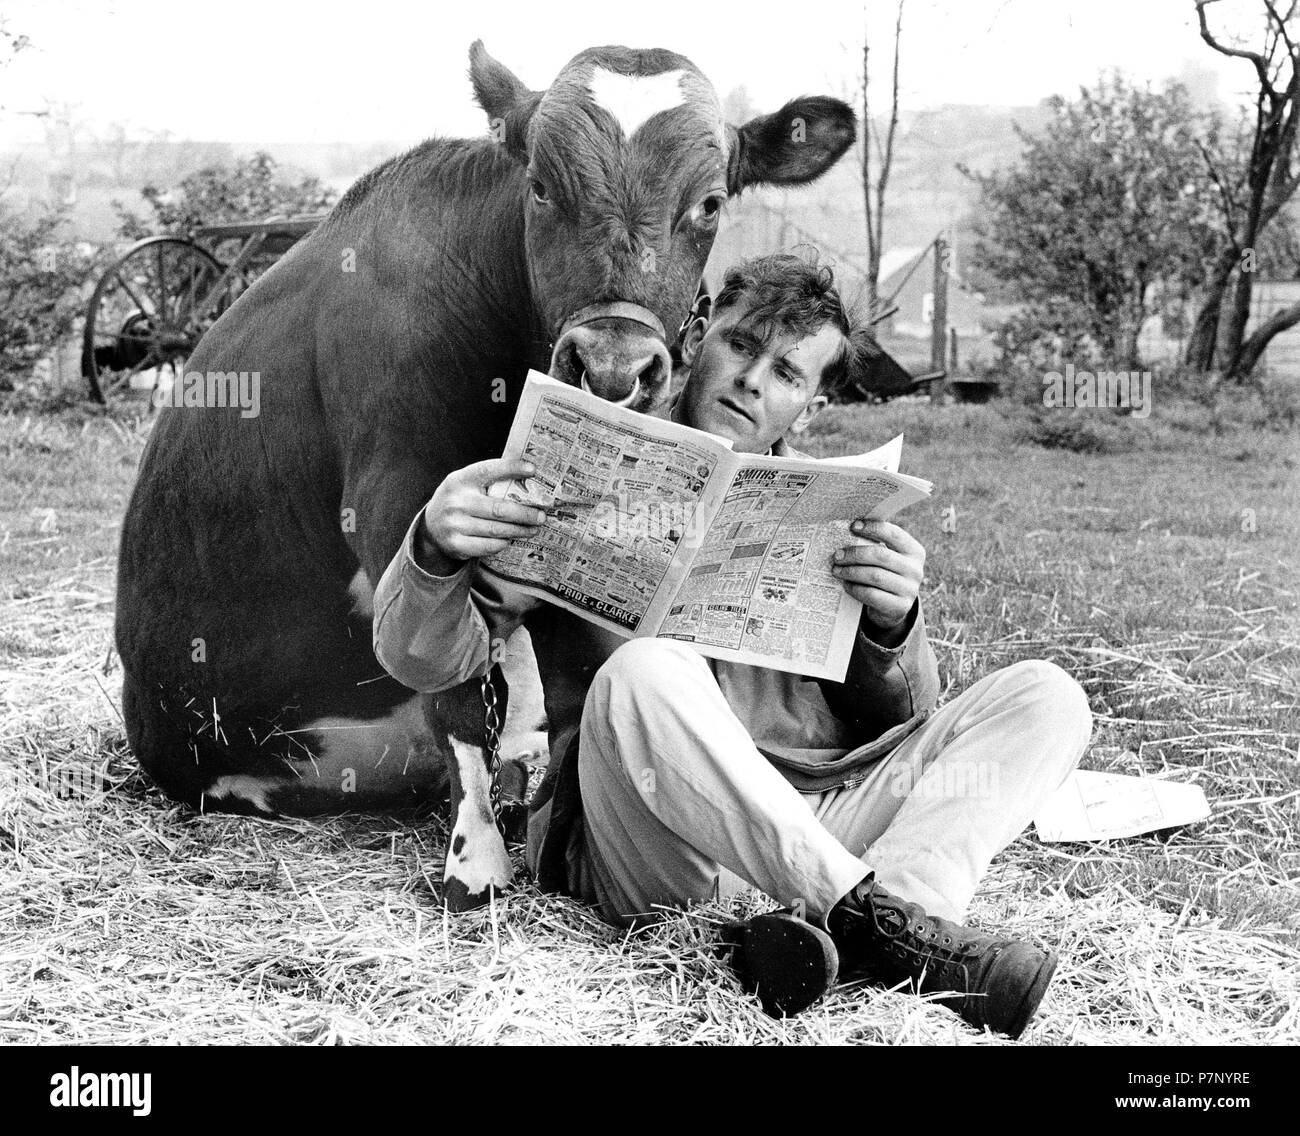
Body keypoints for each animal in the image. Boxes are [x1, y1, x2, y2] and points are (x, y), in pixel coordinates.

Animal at [115, 41, 855, 910]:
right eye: (540, 187)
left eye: (709, 203)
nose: (611, 368)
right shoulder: (393, 495)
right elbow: (457, 697)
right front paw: (477, 859)